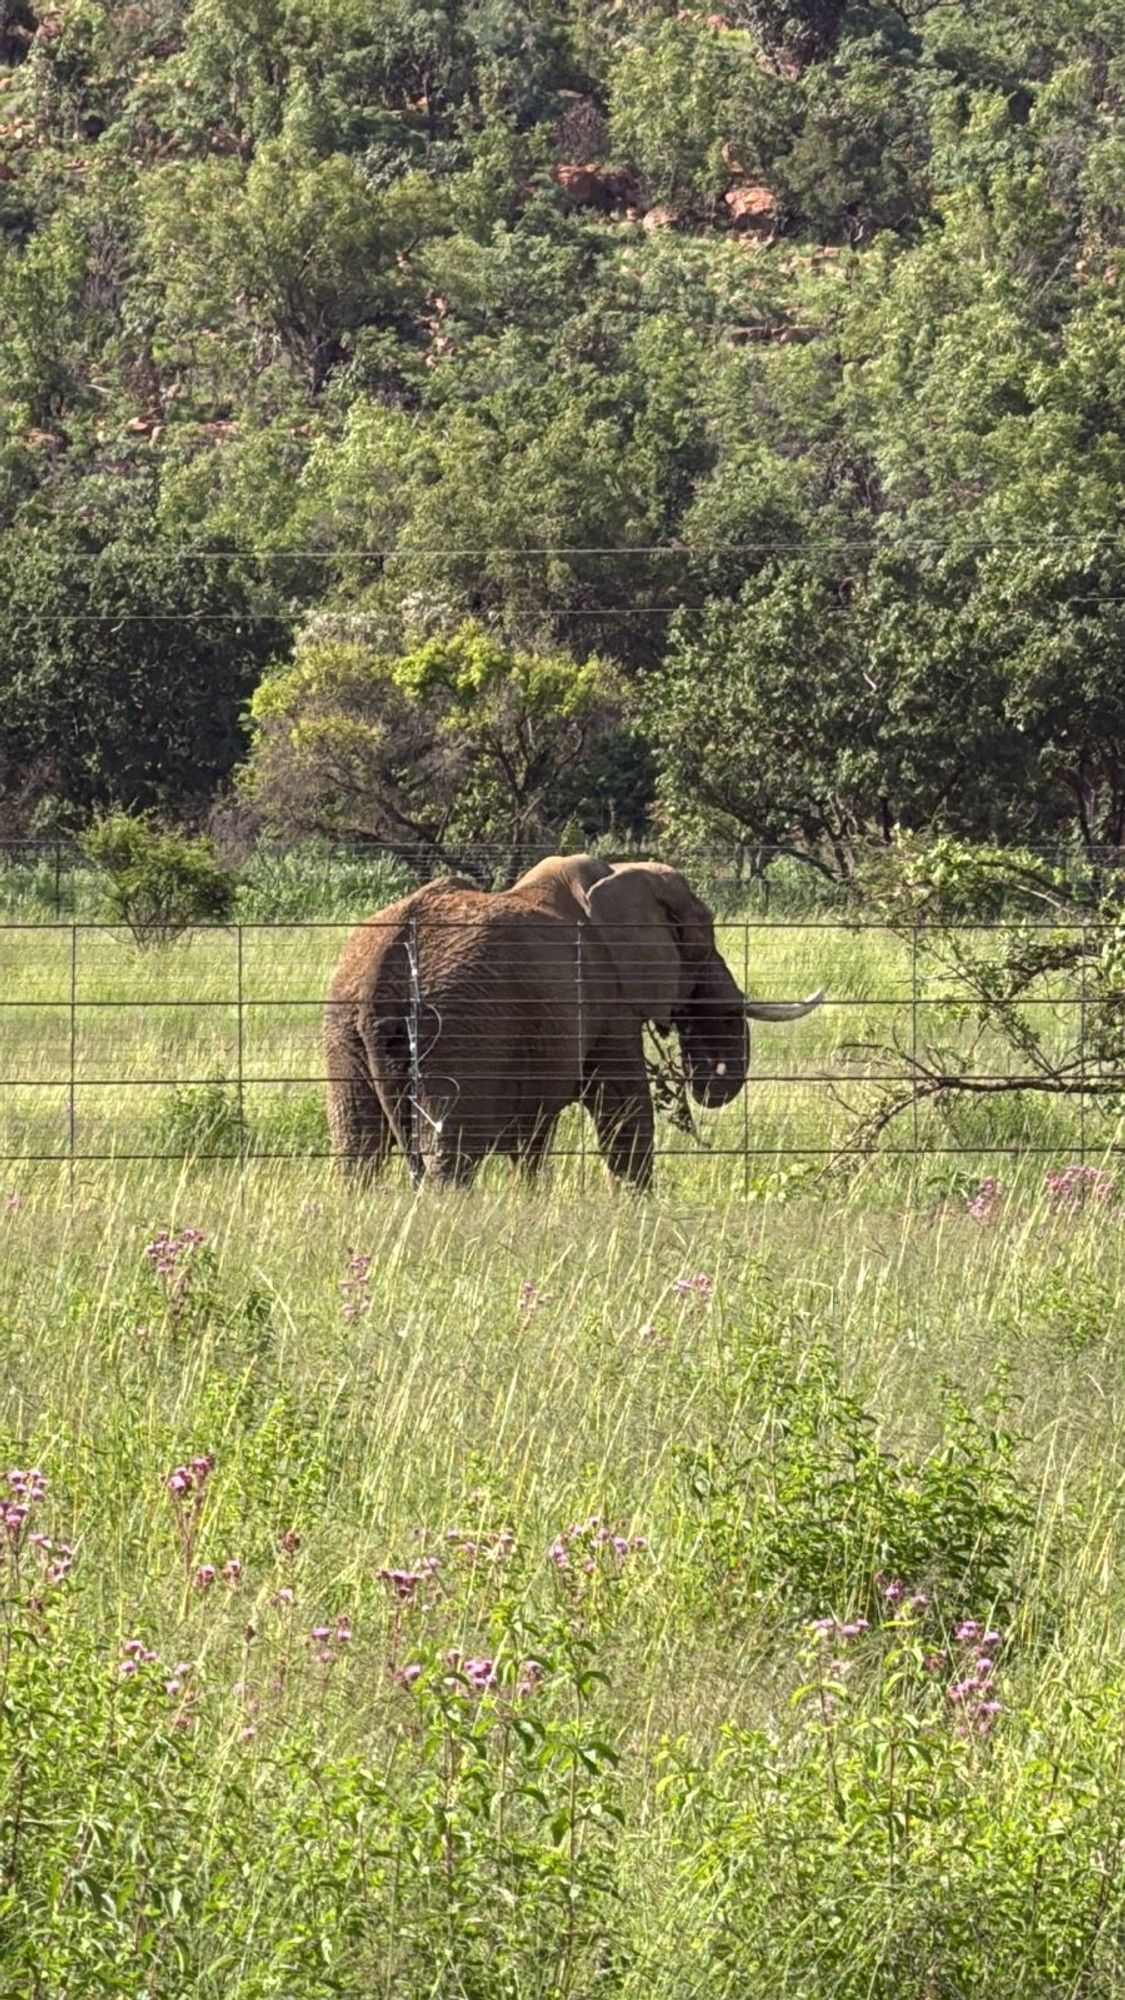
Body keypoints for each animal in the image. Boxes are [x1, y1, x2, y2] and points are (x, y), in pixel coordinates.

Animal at [324, 854, 823, 1190]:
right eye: (702, 940)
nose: (707, 1076)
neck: (613, 874)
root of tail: (376, 976)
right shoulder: (605, 991)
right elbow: (623, 1105)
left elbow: (534, 1133)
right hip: (455, 1034)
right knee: (447, 1154)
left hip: (345, 1031)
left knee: (358, 1148)